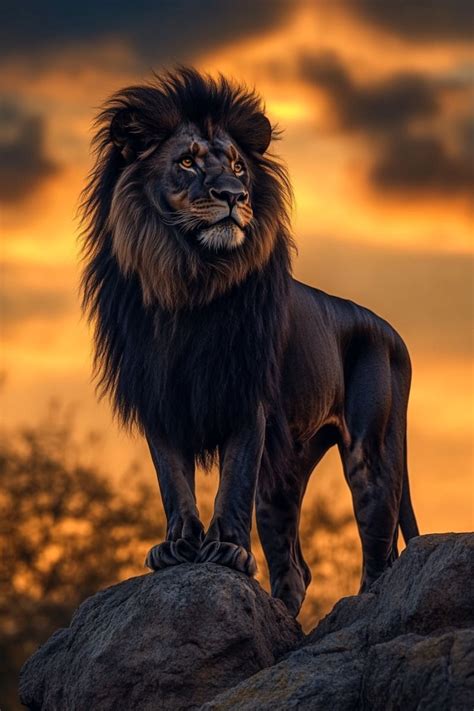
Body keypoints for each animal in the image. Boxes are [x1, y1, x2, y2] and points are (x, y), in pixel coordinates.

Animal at [81, 68, 419, 616]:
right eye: (187, 160)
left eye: (239, 165)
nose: (235, 194)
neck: (188, 282)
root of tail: (392, 332)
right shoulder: (161, 398)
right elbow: (173, 480)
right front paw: (177, 546)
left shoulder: (245, 396)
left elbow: (232, 481)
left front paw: (227, 550)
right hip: (285, 472)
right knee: (297, 570)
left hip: (373, 450)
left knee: (381, 547)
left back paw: (359, 606)